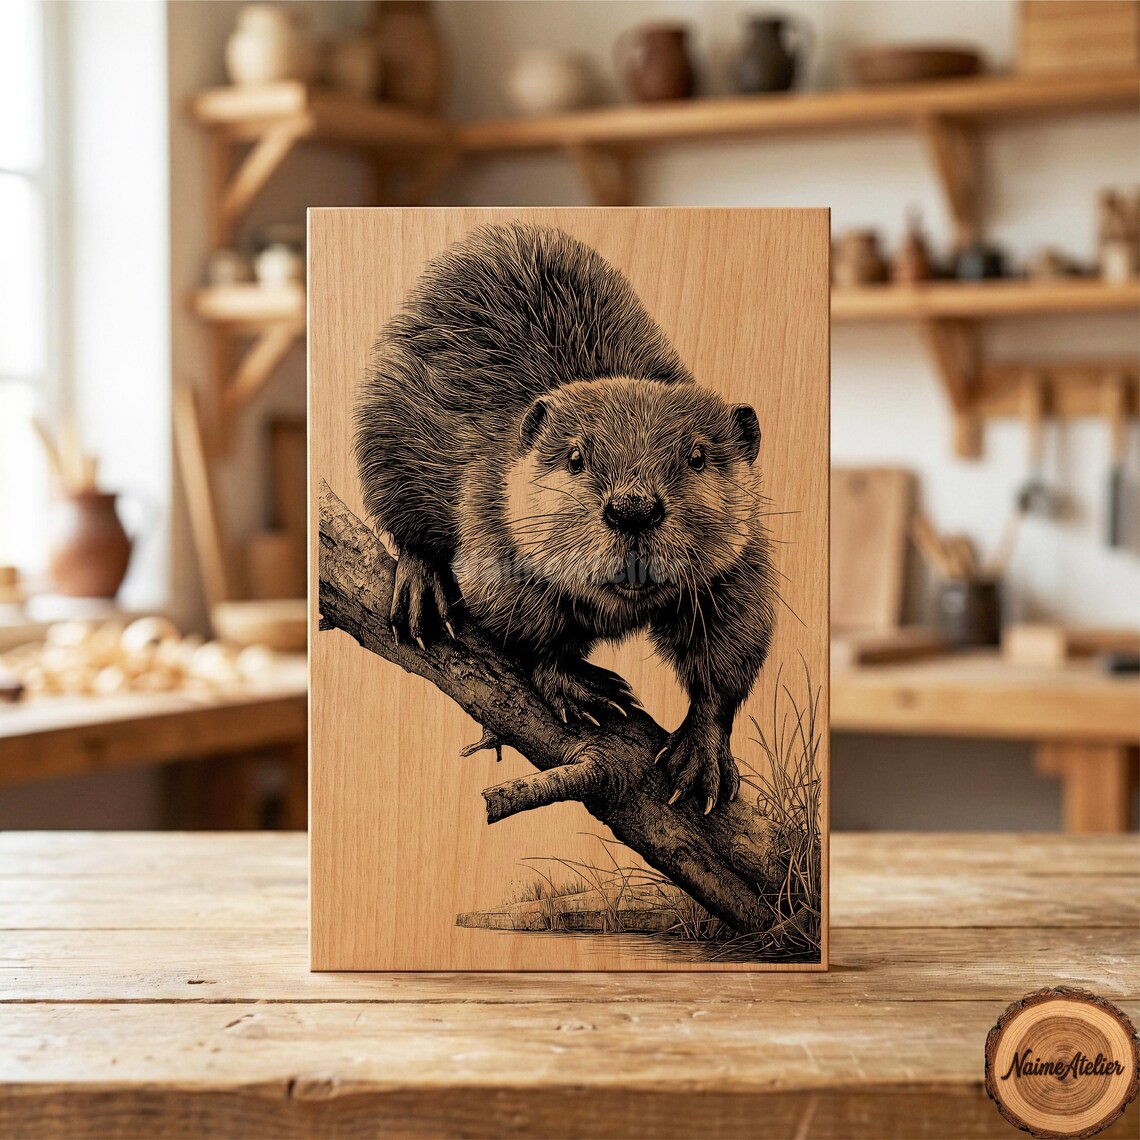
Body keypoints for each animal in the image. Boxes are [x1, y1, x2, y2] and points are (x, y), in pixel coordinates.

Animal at [355, 223, 776, 812]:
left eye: (696, 456)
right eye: (576, 457)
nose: (632, 509)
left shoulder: (739, 561)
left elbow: (735, 639)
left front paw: (702, 760)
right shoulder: (489, 511)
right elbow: (515, 618)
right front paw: (591, 690)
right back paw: (420, 590)